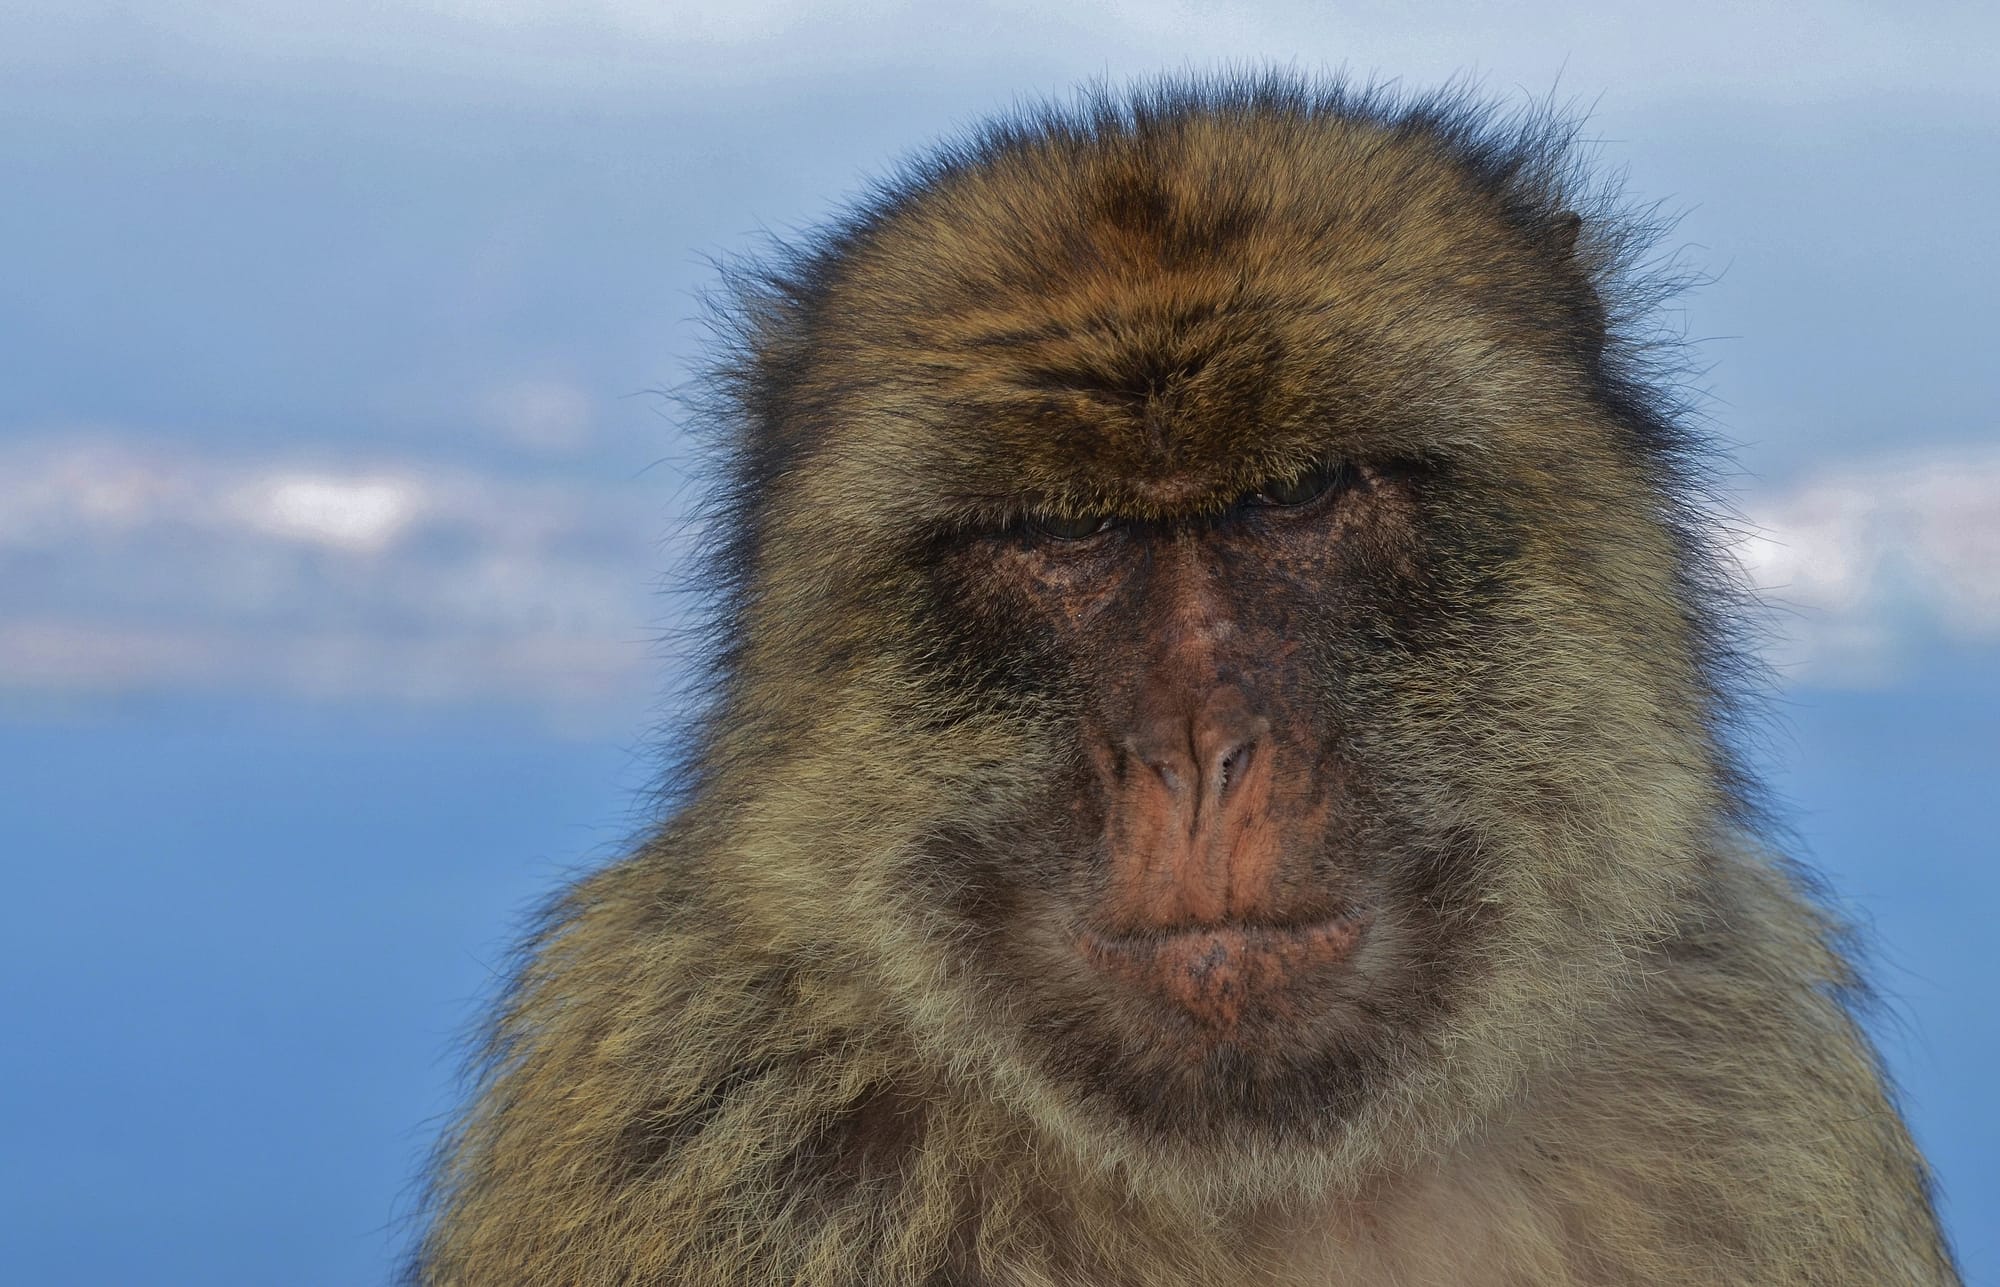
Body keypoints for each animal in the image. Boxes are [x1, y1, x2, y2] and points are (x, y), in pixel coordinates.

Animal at [410, 77, 1959, 1285]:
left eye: (1296, 495)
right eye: (1062, 535)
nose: (1198, 750)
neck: (1267, 1180)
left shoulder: (1764, 1107)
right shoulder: (694, 1117)